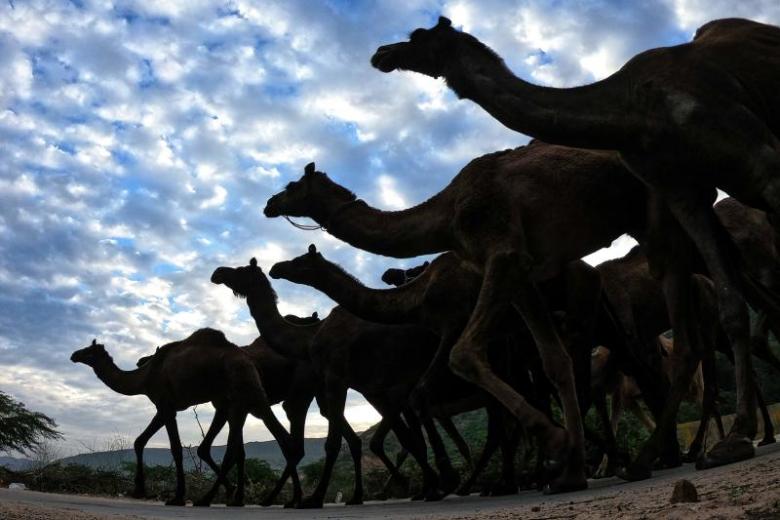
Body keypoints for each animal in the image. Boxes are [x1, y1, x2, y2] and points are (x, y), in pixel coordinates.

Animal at [70, 332, 300, 506]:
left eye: (88, 350)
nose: (73, 354)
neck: (144, 376)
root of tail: (248, 358)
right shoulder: (165, 407)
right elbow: (139, 441)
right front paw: (139, 490)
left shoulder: (165, 406)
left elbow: (176, 448)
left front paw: (177, 497)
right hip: (245, 397)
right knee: (275, 439)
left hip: (242, 391)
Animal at [212, 258, 467, 507]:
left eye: (241, 270)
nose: (218, 273)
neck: (308, 338)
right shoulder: (368, 387)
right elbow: (400, 438)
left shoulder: (336, 381)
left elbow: (330, 442)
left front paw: (313, 498)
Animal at [371, 17, 780, 472]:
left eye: (417, 37)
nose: (382, 54)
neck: (632, 111)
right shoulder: (682, 189)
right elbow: (731, 307)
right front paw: (733, 438)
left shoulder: (759, 161)